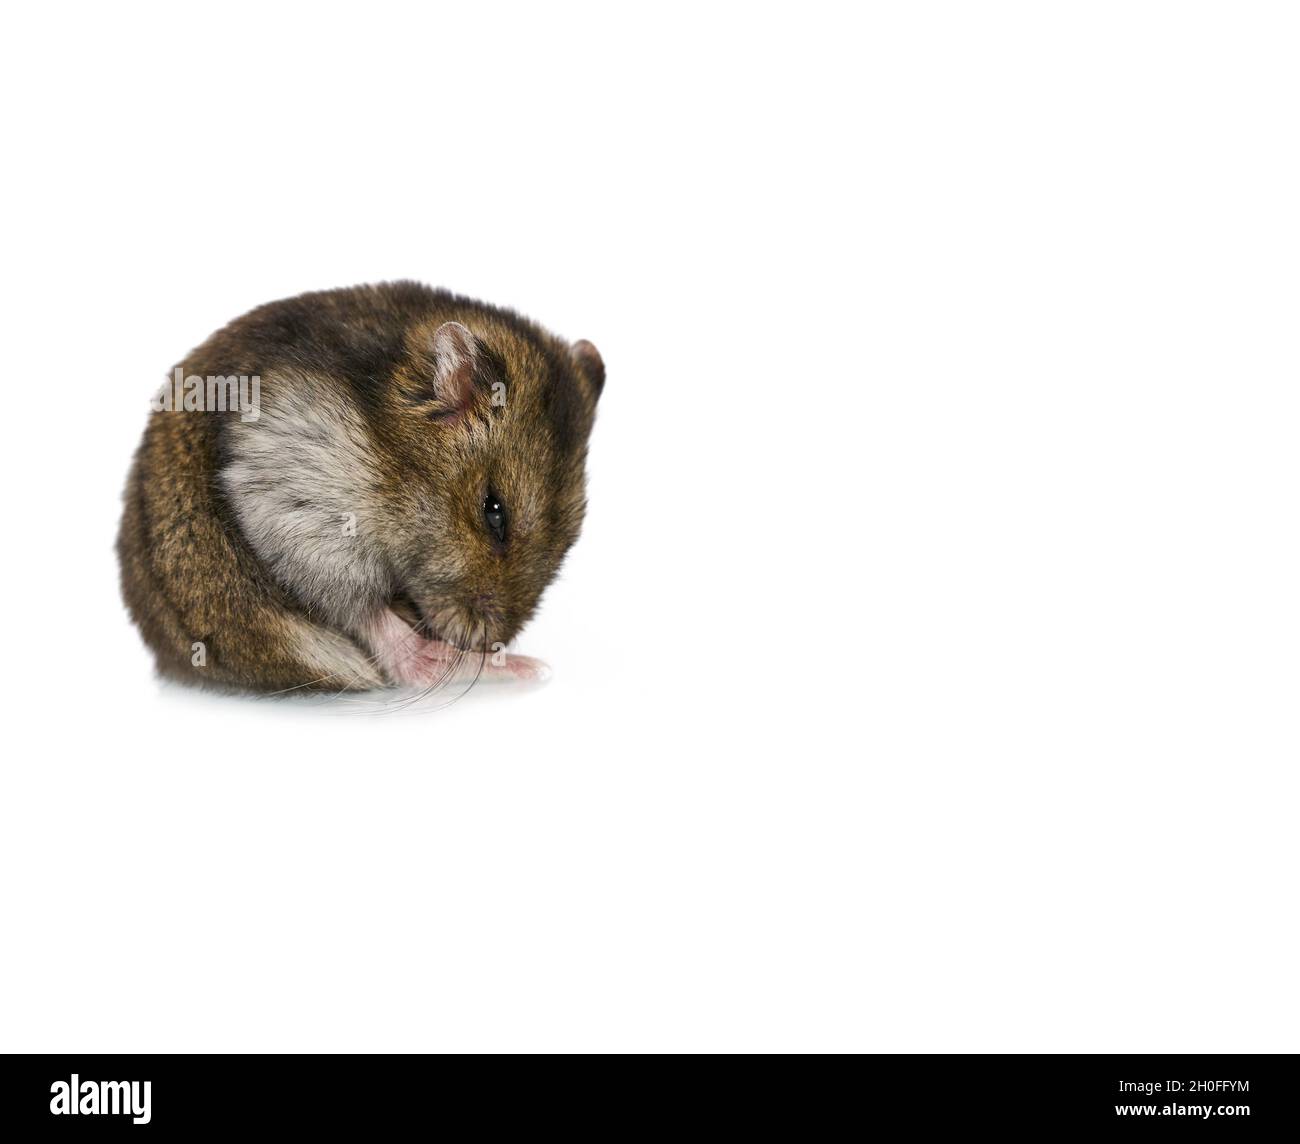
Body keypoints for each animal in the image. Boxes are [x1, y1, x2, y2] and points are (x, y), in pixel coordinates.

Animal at [116, 282, 604, 695]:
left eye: (571, 538)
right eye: (494, 512)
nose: (487, 642)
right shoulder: (294, 488)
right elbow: (364, 611)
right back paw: (513, 667)